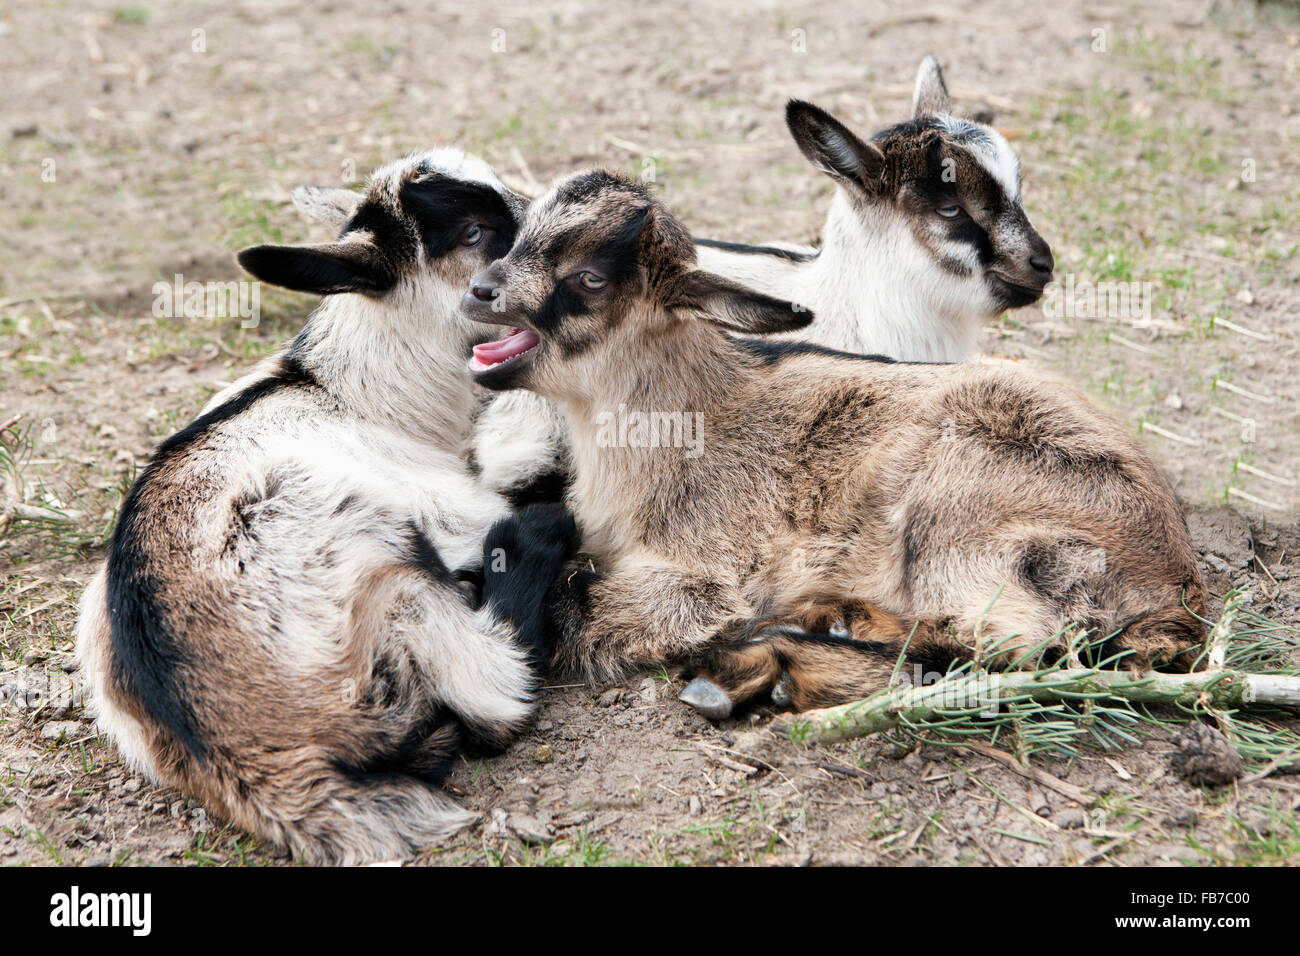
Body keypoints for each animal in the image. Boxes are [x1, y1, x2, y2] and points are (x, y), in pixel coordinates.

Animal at [75, 149, 579, 864]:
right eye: (475, 233)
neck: (353, 394)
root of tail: (256, 762)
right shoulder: (453, 506)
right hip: (374, 559)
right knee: (492, 692)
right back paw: (538, 536)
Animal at [459, 170, 1206, 719]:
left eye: (591, 277)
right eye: (520, 235)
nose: (480, 290)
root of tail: (1174, 579)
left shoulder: (703, 572)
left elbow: (584, 600)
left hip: (963, 511)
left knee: (1012, 646)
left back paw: (772, 661)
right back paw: (830, 623)